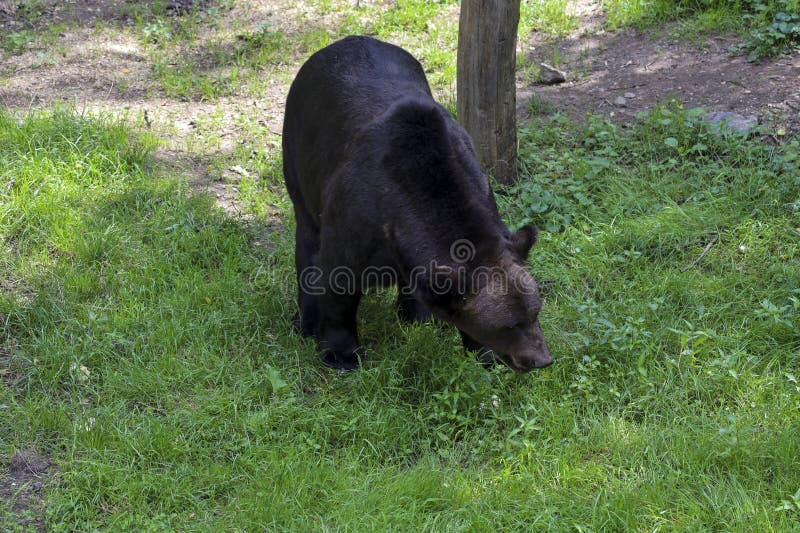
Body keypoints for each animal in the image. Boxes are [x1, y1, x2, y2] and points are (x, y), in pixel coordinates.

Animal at [282, 35, 552, 372]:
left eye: (535, 311)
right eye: (510, 325)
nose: (541, 359)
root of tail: (338, 44)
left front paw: (480, 350)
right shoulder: (353, 220)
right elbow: (337, 281)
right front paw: (341, 353)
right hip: (299, 158)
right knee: (306, 235)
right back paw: (305, 321)